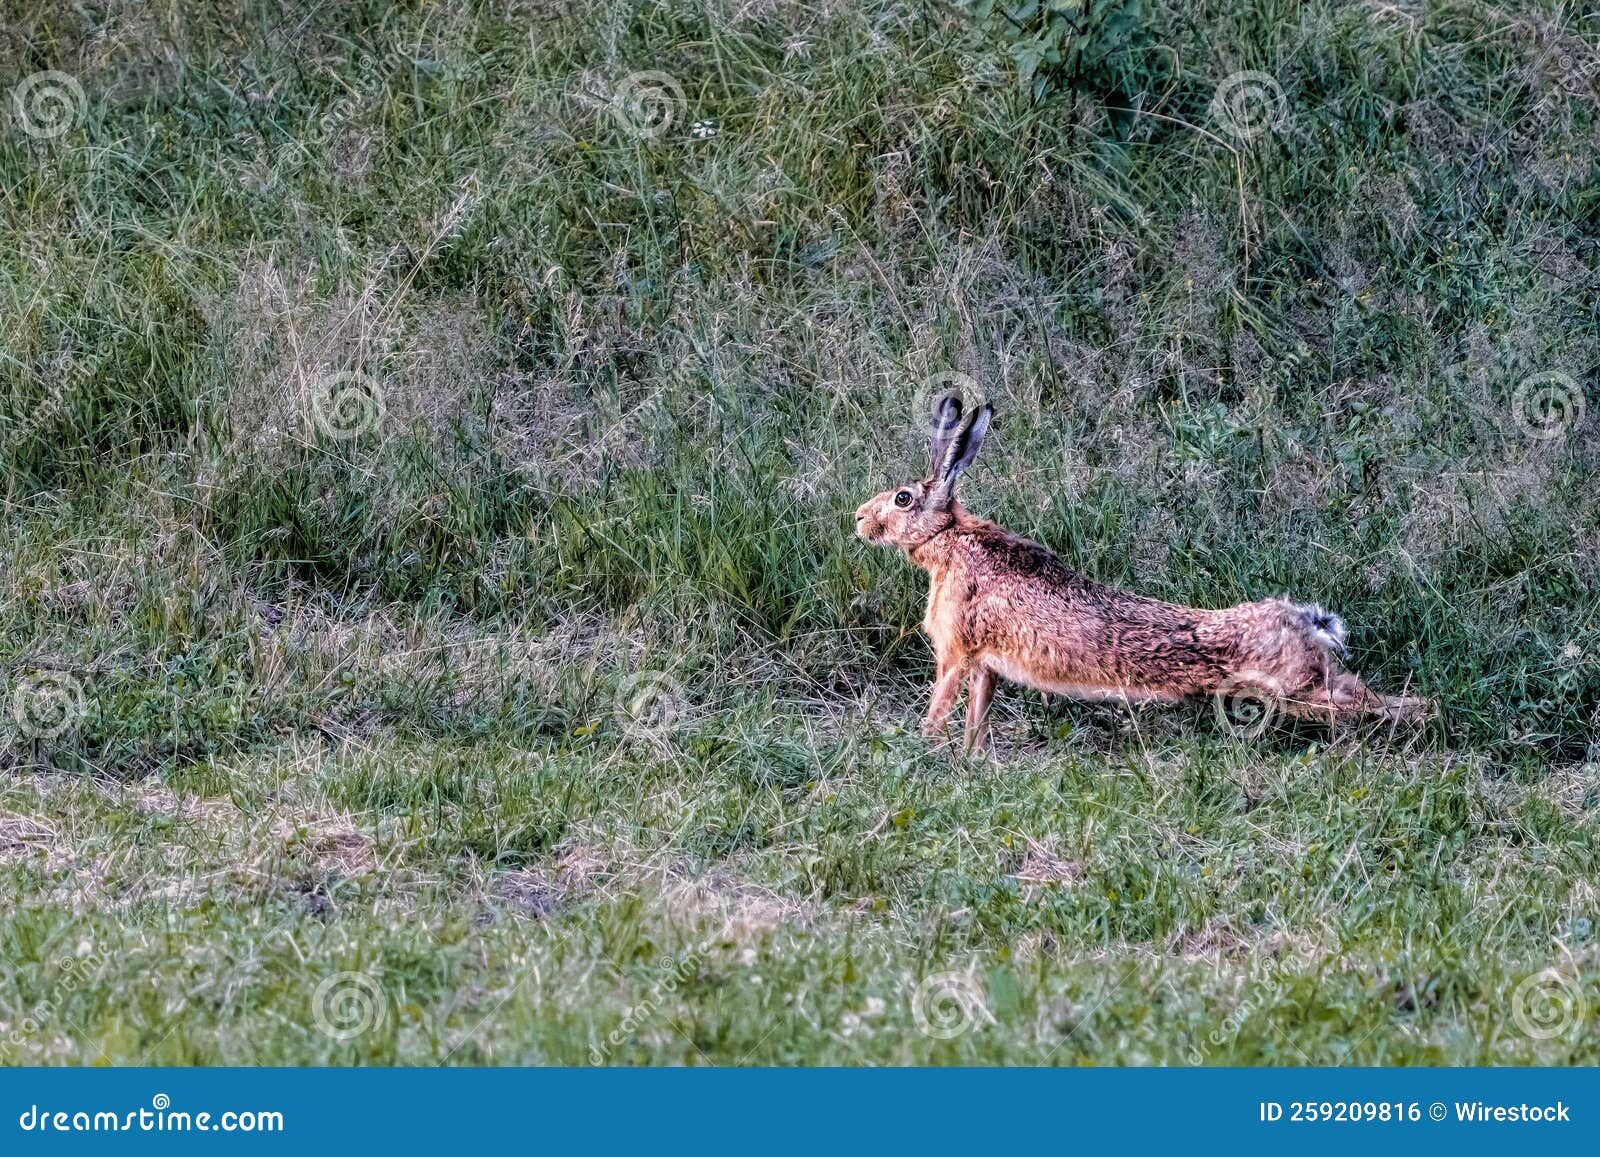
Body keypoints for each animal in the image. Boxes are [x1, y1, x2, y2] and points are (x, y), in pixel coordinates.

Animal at [854, 395, 1429, 752]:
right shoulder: (986, 666)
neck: (947, 540)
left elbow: (940, 707)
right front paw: (969, 758)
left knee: (1384, 704)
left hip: (1298, 691)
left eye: (903, 499)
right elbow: (977, 714)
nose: (859, 518)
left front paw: (929, 751)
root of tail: (1305, 621)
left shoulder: (954, 653)